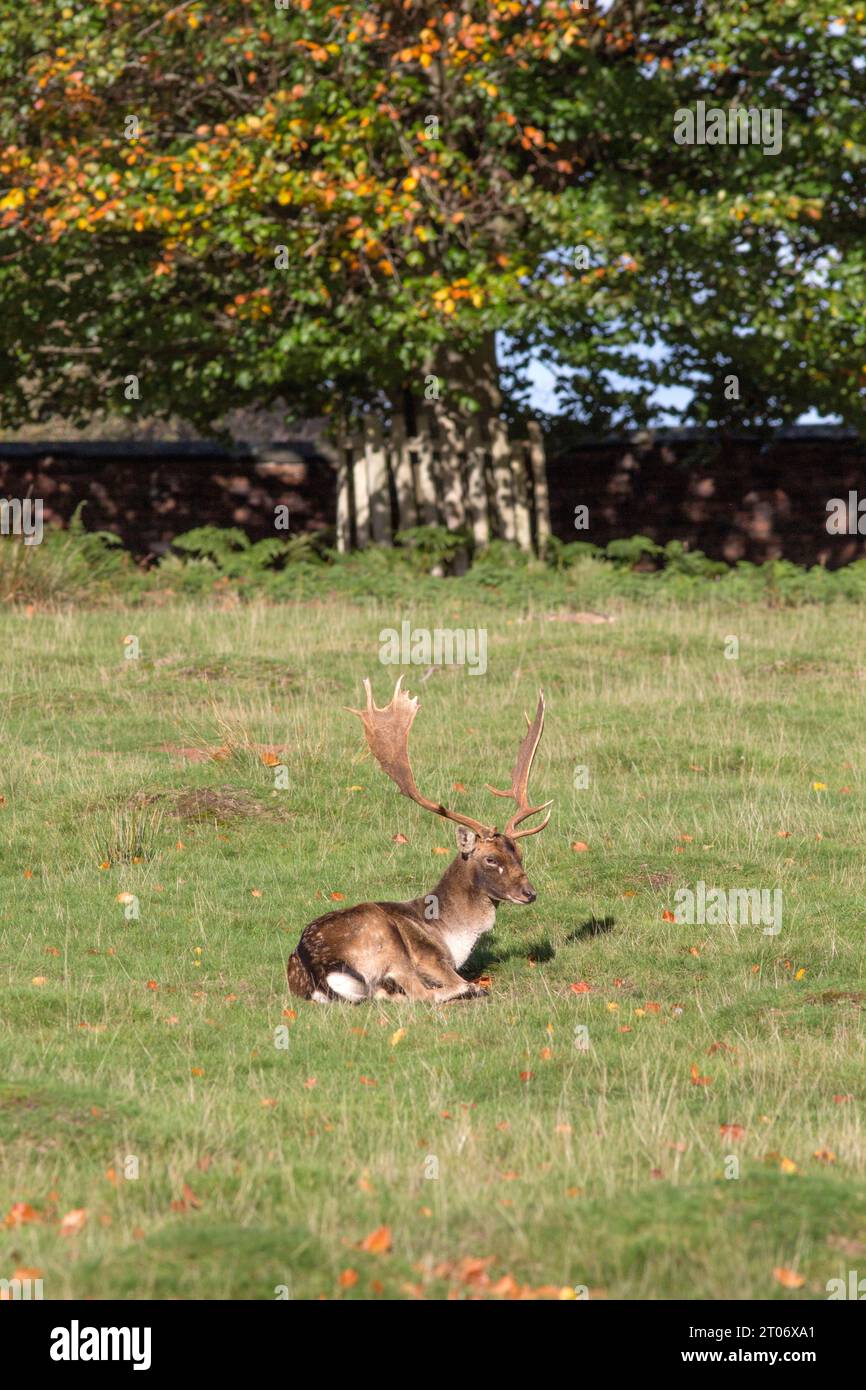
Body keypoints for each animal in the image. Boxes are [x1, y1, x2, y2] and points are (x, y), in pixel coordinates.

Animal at [286, 676, 552, 1004]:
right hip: (385, 941)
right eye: (491, 859)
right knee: (423, 992)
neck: (449, 934)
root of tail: (316, 968)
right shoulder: (431, 958)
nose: (530, 893)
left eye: (519, 854)